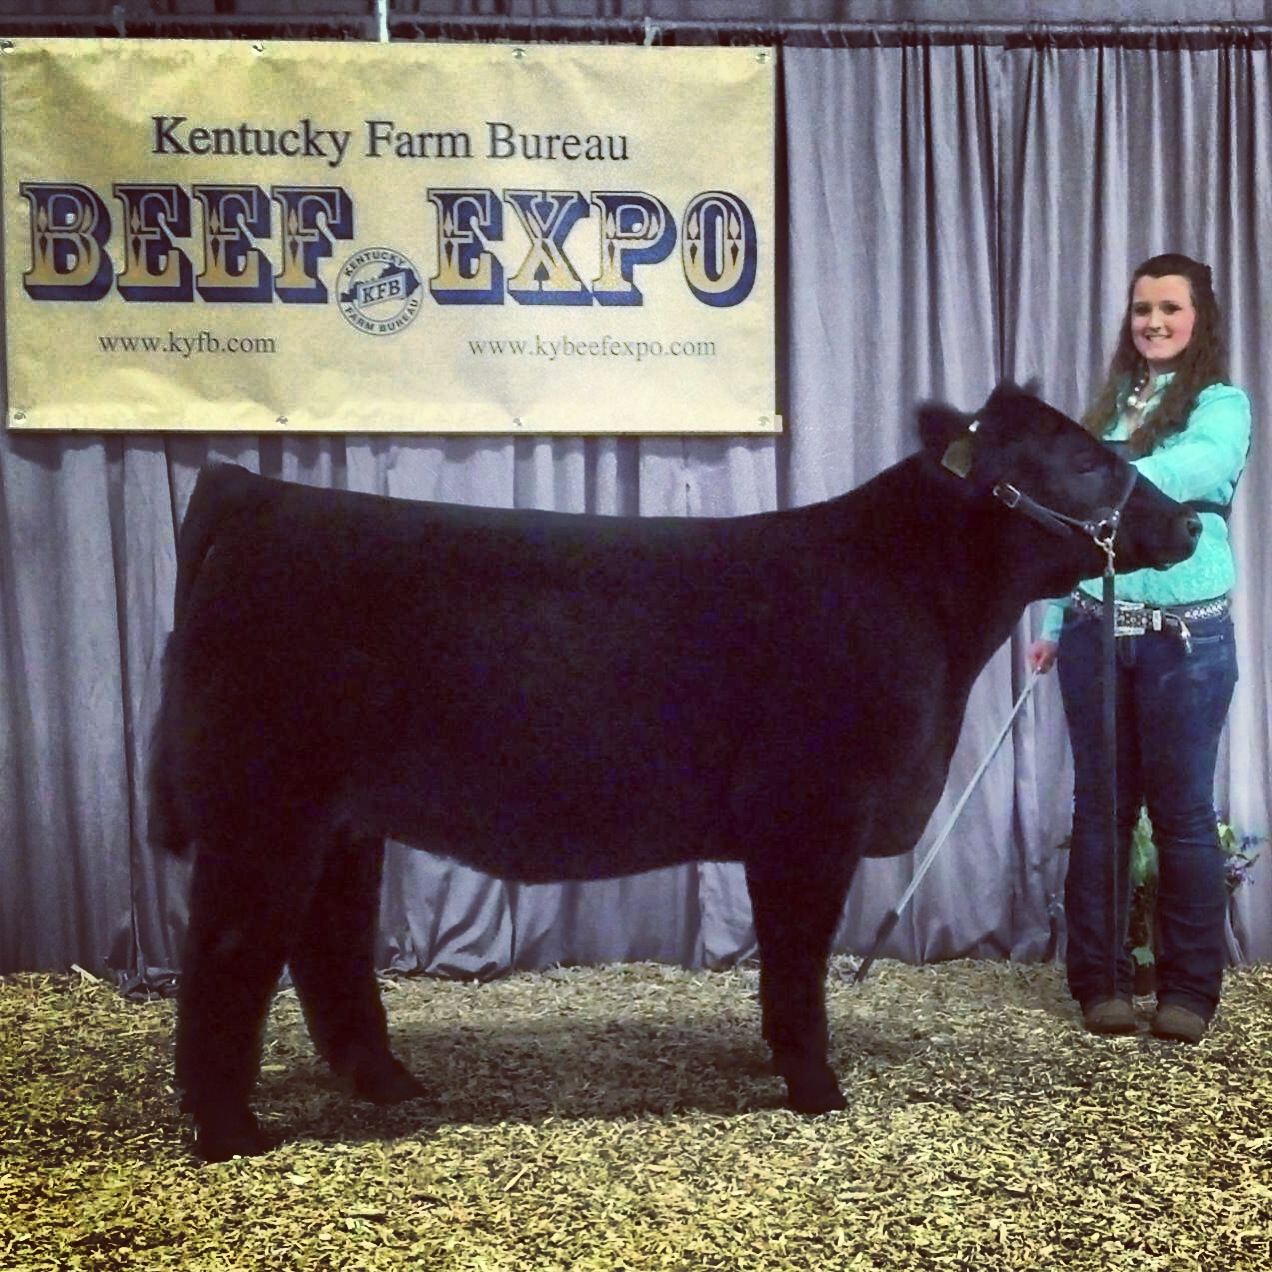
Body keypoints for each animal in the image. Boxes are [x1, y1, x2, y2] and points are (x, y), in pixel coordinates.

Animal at [148, 382, 1200, 1161]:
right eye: (1088, 460)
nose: (1190, 523)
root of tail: (261, 494)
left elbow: (786, 963)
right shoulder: (810, 815)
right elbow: (797, 961)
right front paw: (816, 1088)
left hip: (342, 820)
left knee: (324, 947)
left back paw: (389, 1084)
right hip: (263, 808)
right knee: (227, 955)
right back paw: (230, 1131)